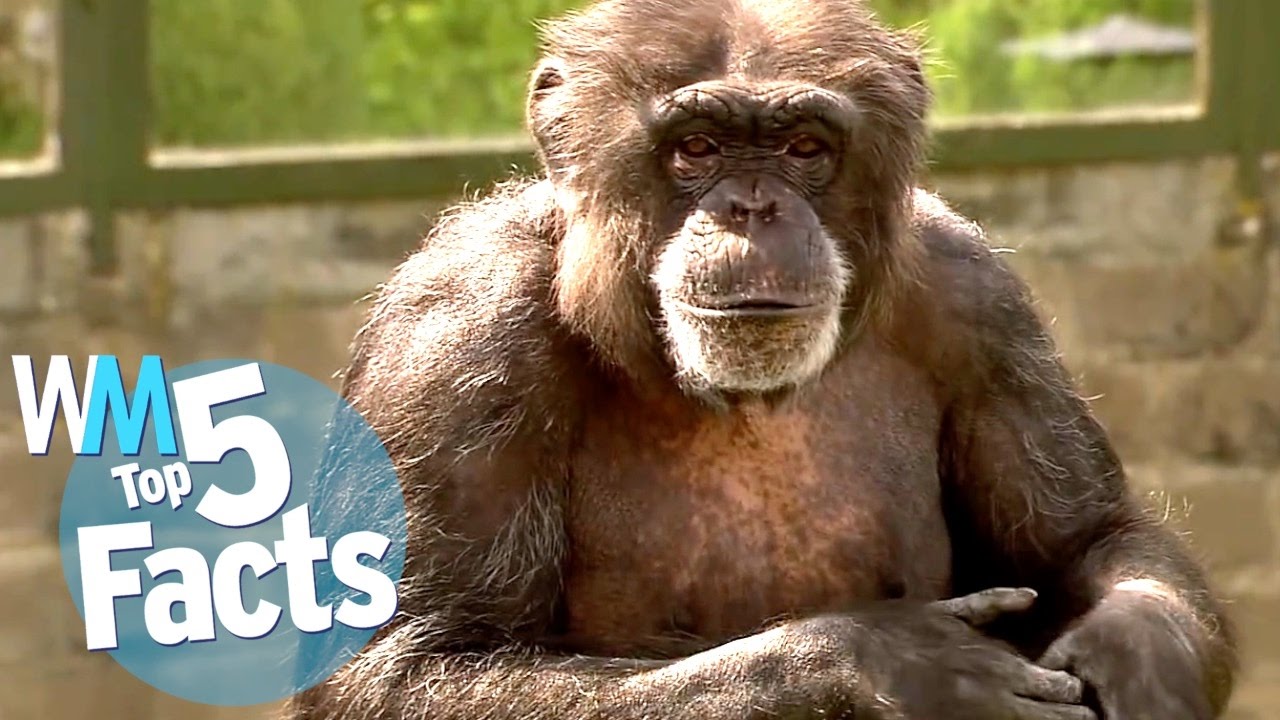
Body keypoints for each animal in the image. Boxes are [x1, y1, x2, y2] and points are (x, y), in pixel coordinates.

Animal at [291, 0, 1237, 718]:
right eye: (698, 147)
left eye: (804, 148)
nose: (754, 208)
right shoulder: (452, 344)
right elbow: (412, 659)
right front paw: (886, 665)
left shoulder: (982, 304)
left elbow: (1087, 539)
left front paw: (1137, 664)